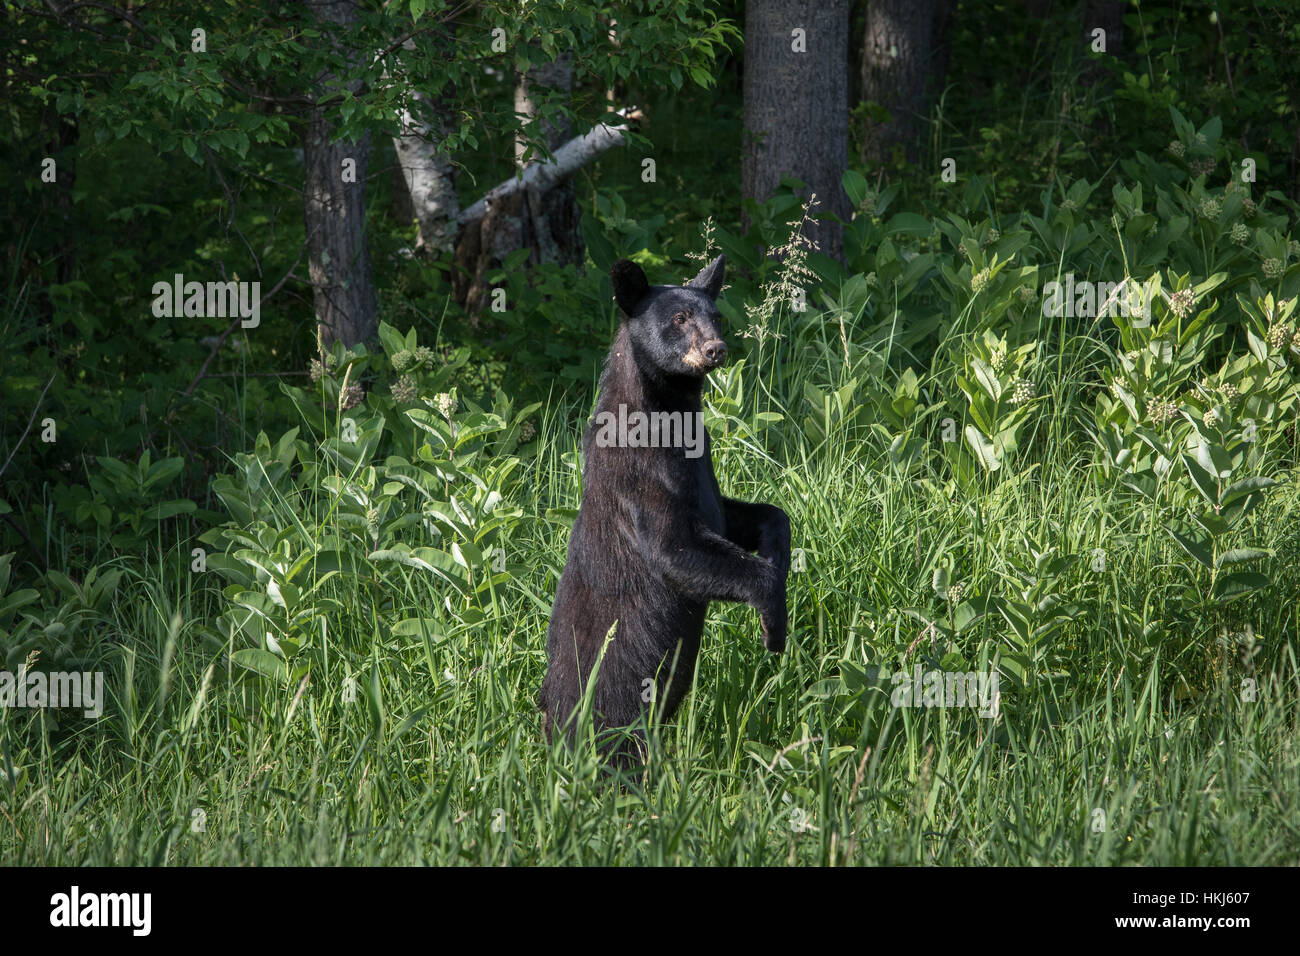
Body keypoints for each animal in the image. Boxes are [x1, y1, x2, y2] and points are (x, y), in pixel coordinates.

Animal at [539, 254, 791, 764]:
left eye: (716, 315)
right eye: (679, 318)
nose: (716, 348)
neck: (668, 414)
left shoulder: (702, 468)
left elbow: (740, 516)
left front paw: (780, 553)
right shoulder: (641, 473)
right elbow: (672, 548)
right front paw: (773, 626)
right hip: (610, 704)